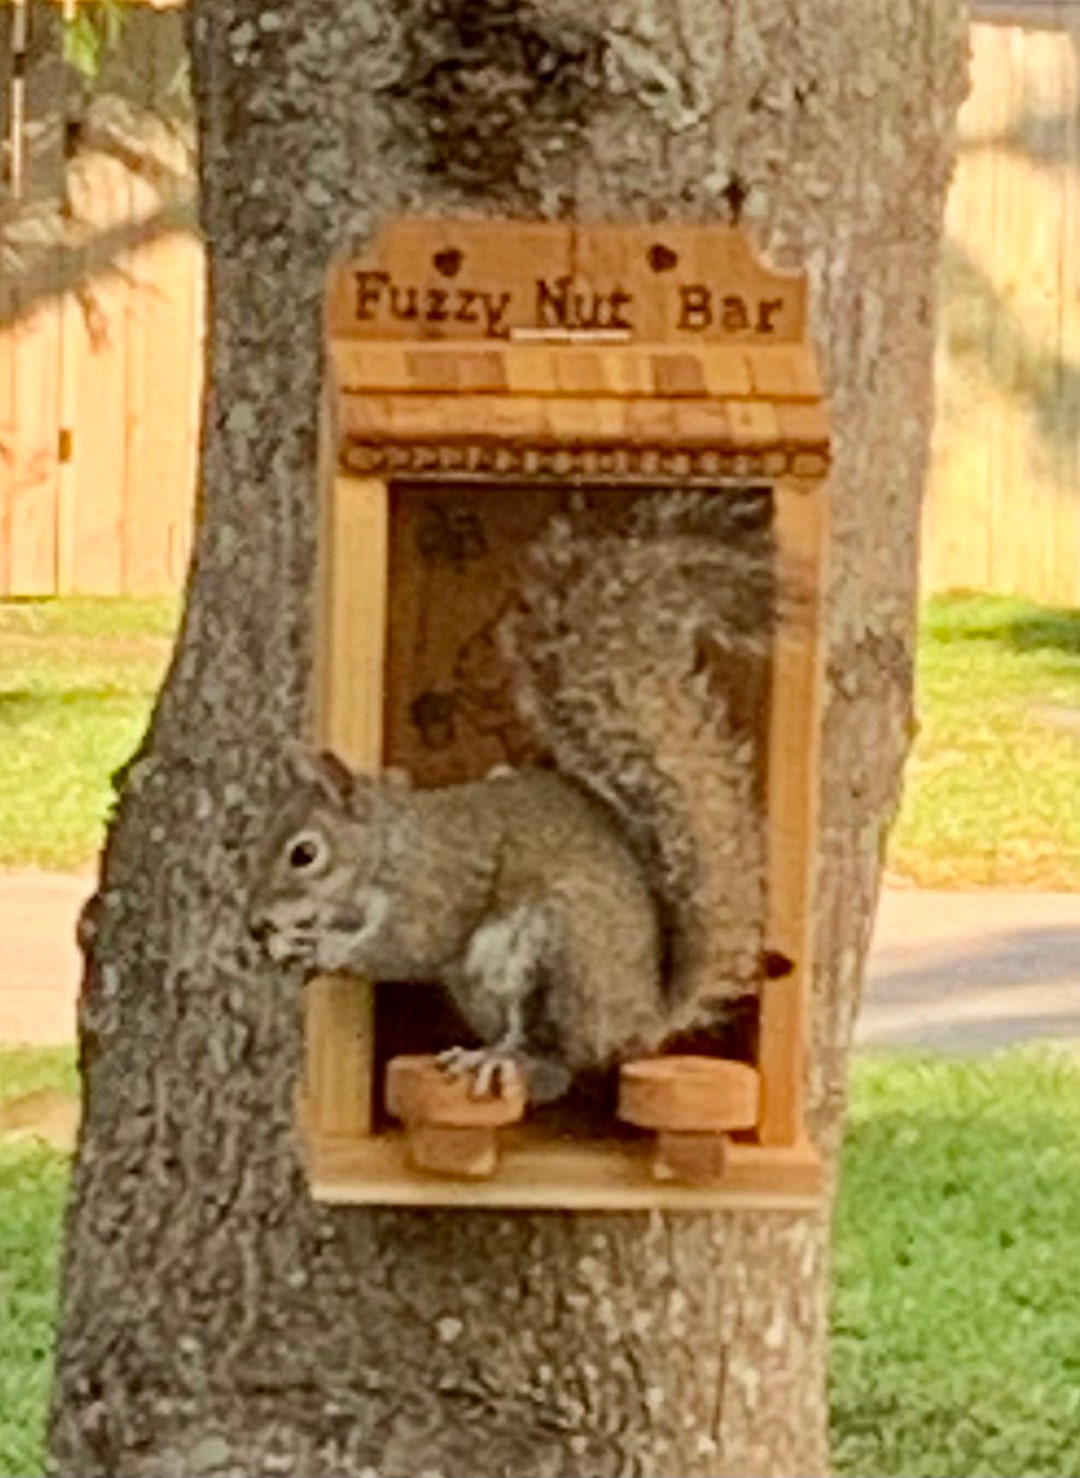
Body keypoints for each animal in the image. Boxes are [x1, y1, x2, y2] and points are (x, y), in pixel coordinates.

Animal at [247, 488, 779, 1103]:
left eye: (304, 853)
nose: (255, 924)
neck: (389, 847)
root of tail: (643, 1022)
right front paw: (292, 942)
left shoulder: (435, 889)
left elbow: (405, 946)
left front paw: (326, 949)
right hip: (485, 987)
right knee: (556, 1072)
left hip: (559, 954)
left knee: (550, 1046)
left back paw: (502, 1058)